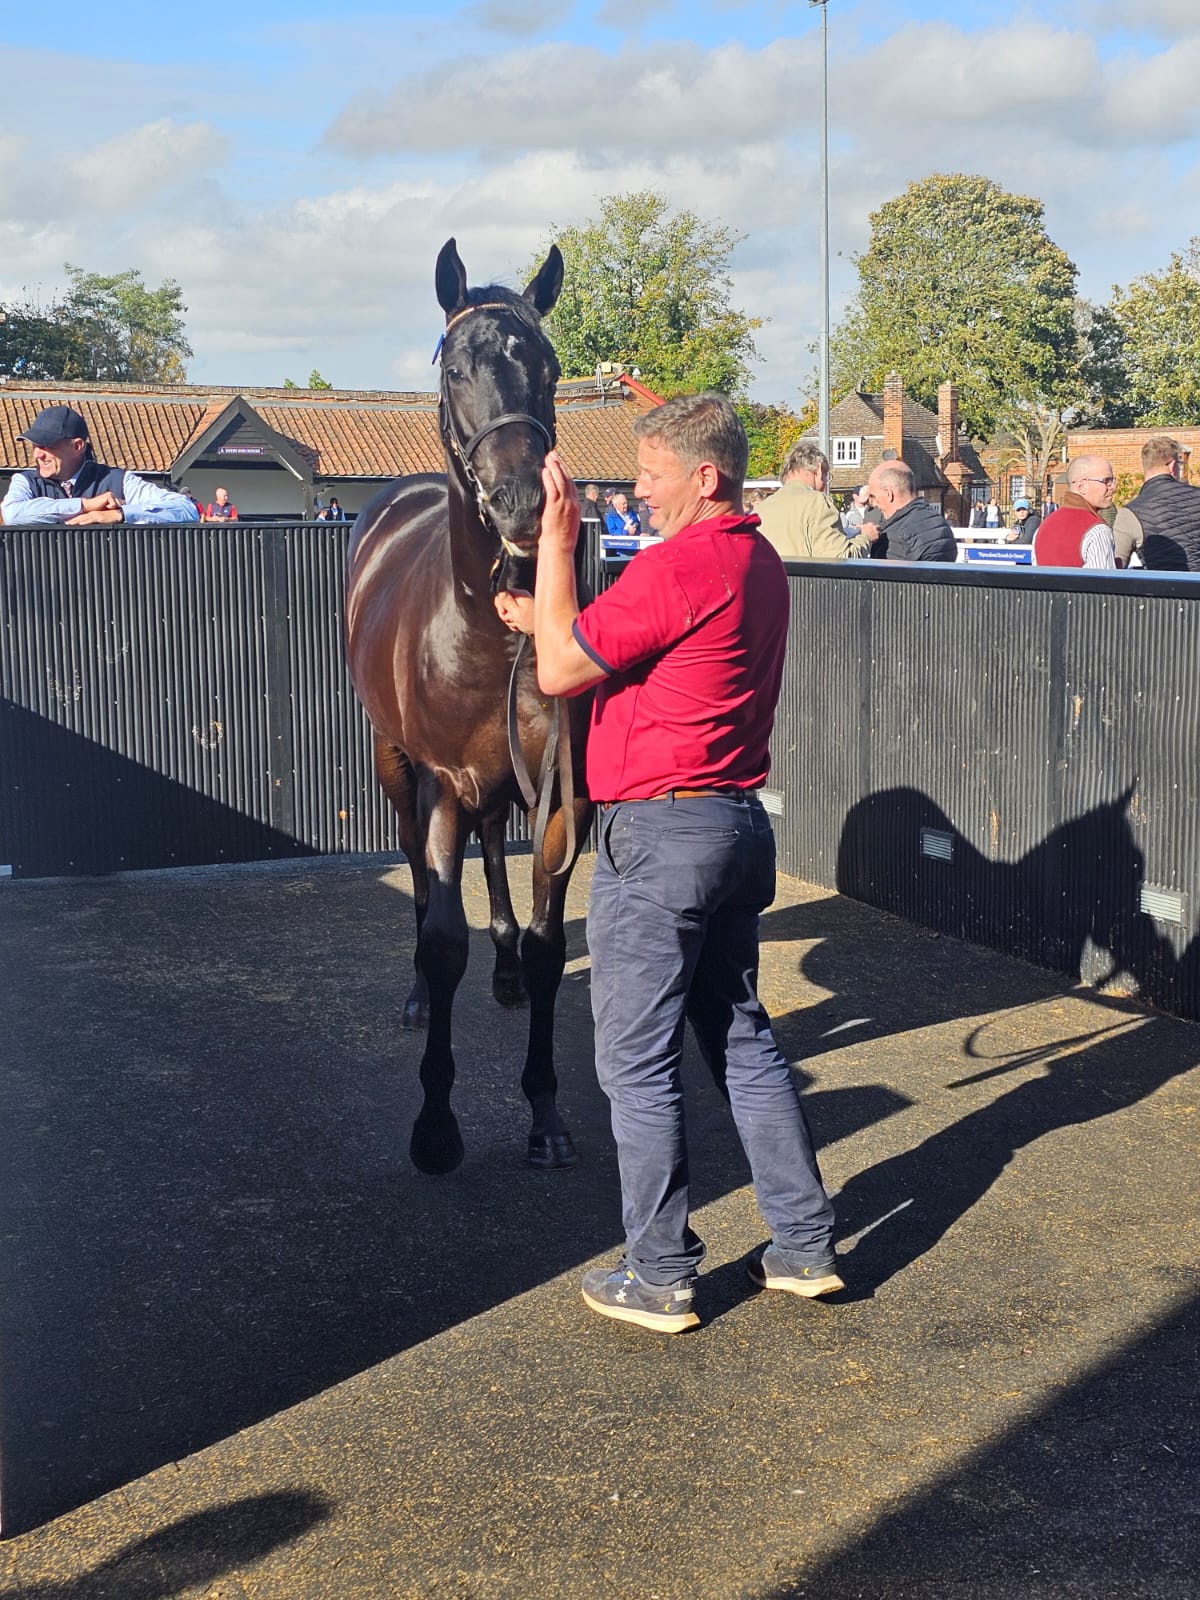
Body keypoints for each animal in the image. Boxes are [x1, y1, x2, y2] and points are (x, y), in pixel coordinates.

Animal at [345, 239, 594, 1176]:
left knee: (492, 854)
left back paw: (507, 971)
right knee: (420, 879)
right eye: (456, 369)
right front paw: (436, 1124)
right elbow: (442, 936)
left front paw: (547, 1112)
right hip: (395, 767)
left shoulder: (560, 798)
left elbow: (552, 944)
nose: (523, 503)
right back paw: (422, 993)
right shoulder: (444, 782)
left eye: (551, 368)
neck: (488, 632)